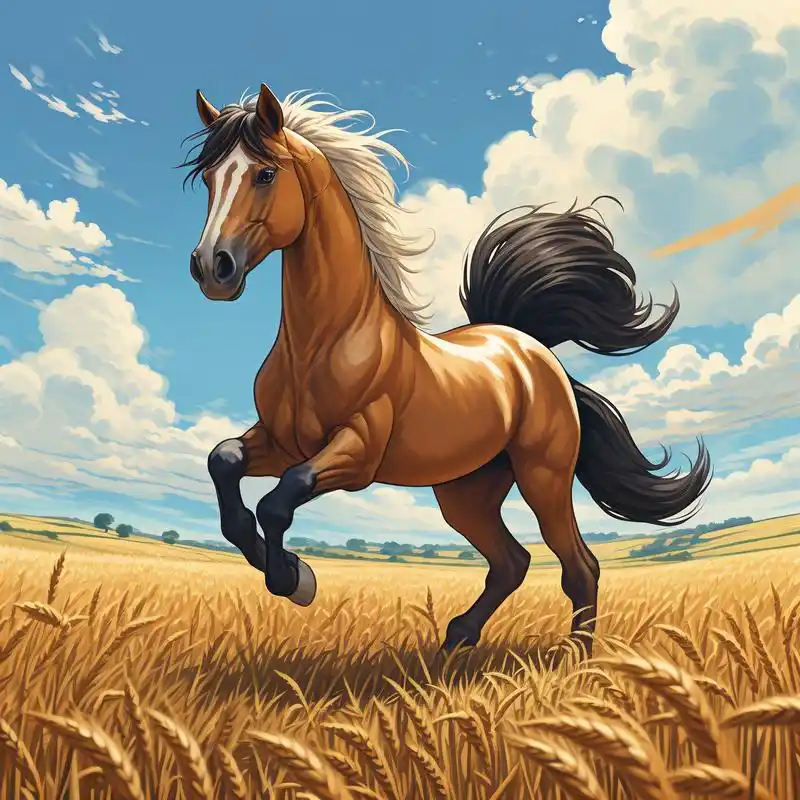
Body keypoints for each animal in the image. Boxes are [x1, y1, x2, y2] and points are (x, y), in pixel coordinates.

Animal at [180, 83, 712, 656]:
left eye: (264, 174)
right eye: (209, 178)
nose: (212, 267)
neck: (323, 343)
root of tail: (529, 348)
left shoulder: (357, 452)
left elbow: (280, 500)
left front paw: (295, 579)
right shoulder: (281, 440)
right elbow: (223, 462)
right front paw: (290, 571)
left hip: (543, 478)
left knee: (579, 566)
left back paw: (577, 663)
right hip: (465, 492)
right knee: (512, 561)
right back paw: (457, 639)